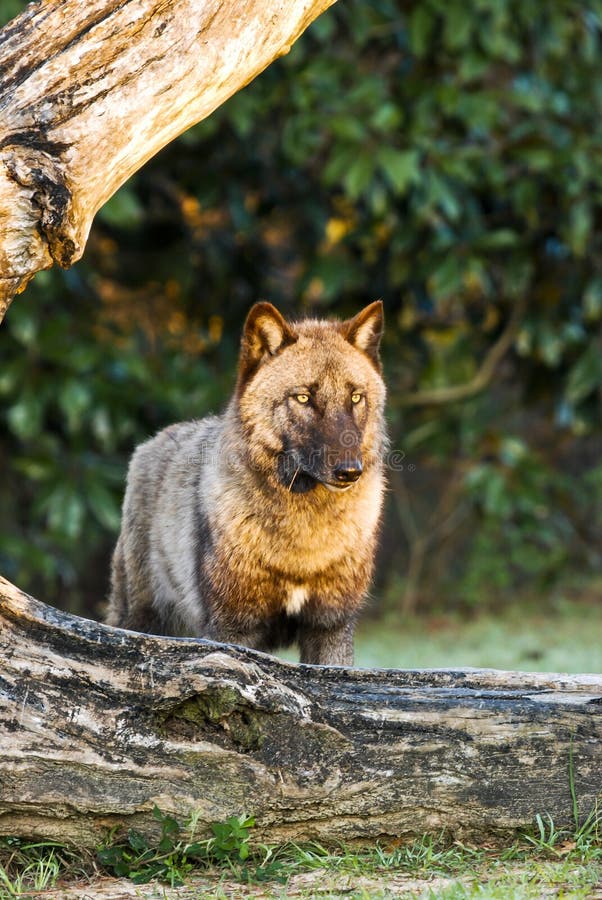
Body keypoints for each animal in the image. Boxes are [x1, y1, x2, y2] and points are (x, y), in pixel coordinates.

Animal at [106, 301, 387, 665]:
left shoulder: (331, 629)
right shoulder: (234, 630)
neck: (302, 542)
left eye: (355, 398)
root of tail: (151, 442)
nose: (350, 471)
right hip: (142, 620)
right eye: (303, 398)